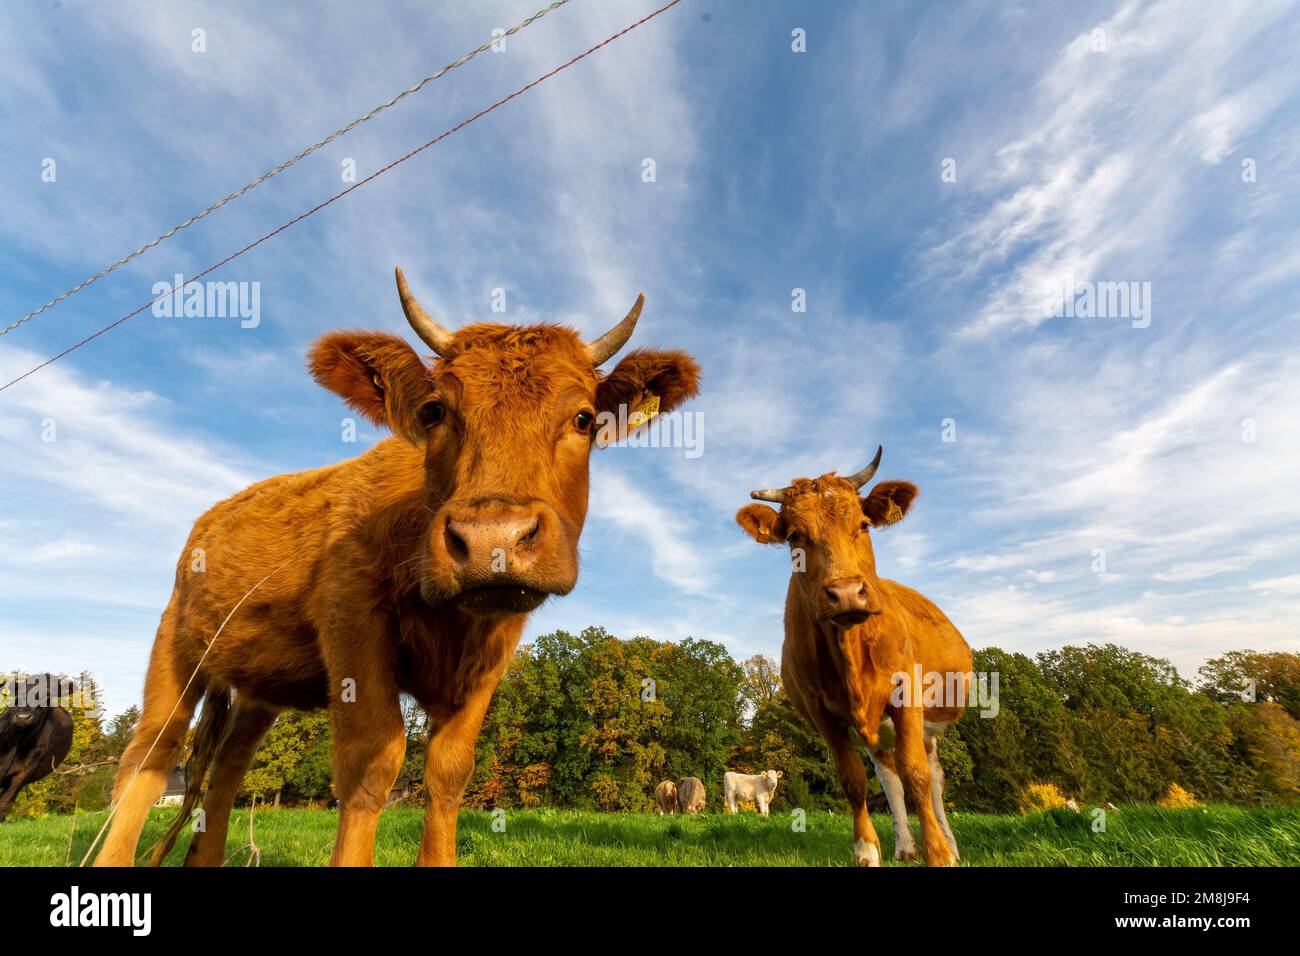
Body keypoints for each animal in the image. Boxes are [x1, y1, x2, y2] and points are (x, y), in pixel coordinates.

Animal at [0, 674, 76, 821]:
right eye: (18, 694)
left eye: (48, 695)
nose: (23, 717)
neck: (17, 740)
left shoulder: (23, 774)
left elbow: (4, 805)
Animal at [94, 268, 700, 867]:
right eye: (435, 412)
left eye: (582, 419)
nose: (493, 540)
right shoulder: (352, 620)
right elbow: (372, 762)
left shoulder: (489, 656)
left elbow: (450, 771)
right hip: (176, 647)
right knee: (148, 759)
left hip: (257, 685)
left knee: (227, 767)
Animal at [736, 446, 972, 867]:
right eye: (794, 537)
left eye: (863, 525)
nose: (846, 592)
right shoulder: (821, 713)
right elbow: (854, 780)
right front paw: (867, 850)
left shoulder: (906, 697)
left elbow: (918, 775)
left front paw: (939, 853)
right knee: (889, 776)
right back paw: (904, 847)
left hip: (927, 723)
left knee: (933, 777)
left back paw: (949, 844)